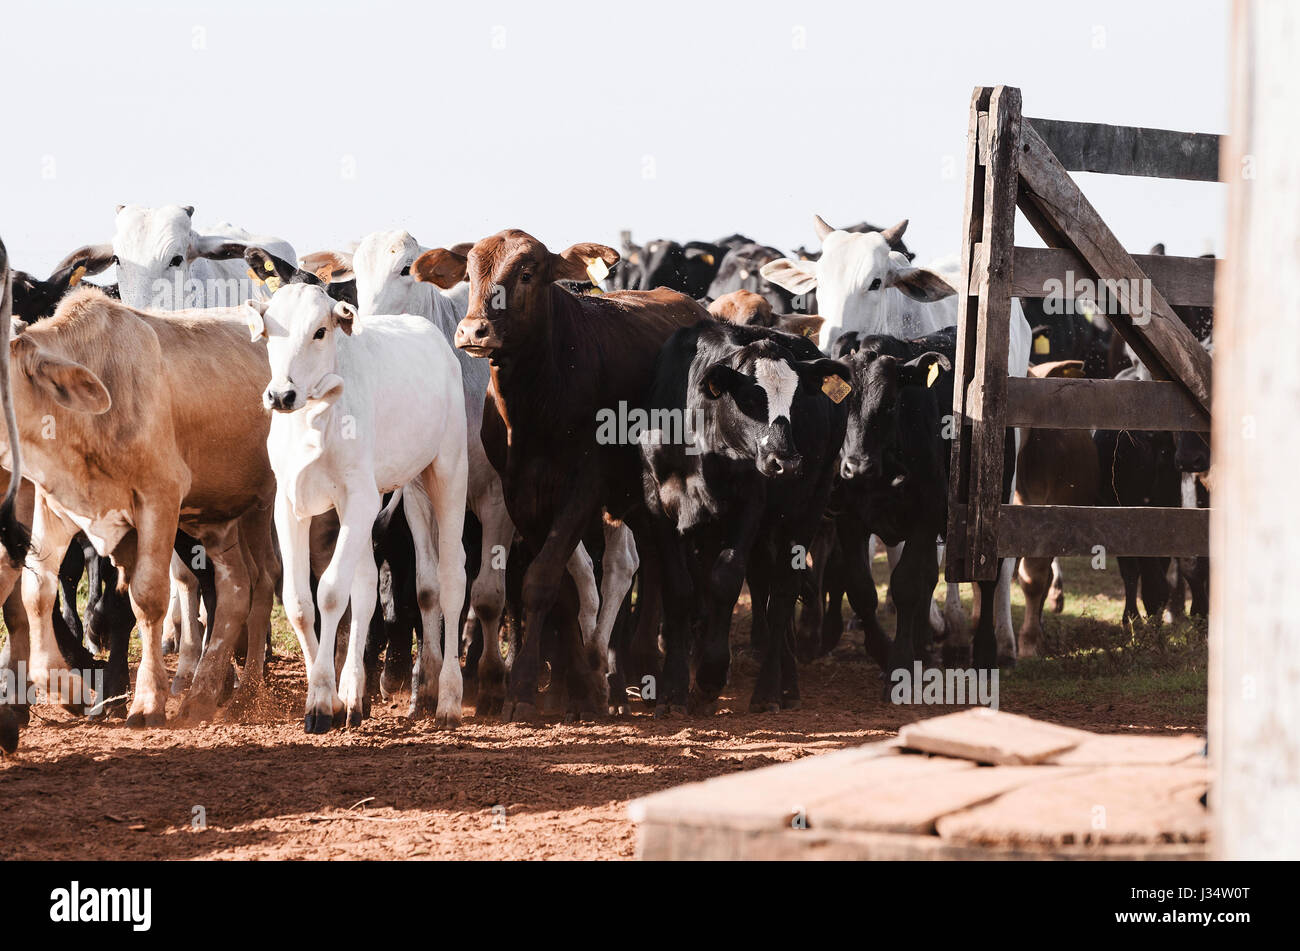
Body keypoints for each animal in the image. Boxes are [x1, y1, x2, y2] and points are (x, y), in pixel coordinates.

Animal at [1, 287, 278, 727]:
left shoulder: (160, 496)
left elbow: (147, 597)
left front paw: (147, 700)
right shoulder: (56, 505)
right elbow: (36, 590)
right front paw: (66, 688)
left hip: (262, 503)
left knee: (265, 579)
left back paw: (248, 693)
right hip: (217, 514)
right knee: (235, 586)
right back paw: (201, 695)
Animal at [250, 282, 469, 732]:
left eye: (320, 331)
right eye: (269, 330)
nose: (281, 394)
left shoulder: (361, 499)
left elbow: (332, 593)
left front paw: (319, 701)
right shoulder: (290, 505)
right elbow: (301, 602)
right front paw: (334, 697)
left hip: (449, 472)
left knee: (452, 576)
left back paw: (449, 698)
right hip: (412, 492)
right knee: (400, 585)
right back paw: (367, 693)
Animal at [412, 230, 707, 721]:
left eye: (527, 273)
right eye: (469, 273)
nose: (473, 331)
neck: (539, 400)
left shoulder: (583, 490)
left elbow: (541, 580)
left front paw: (523, 688)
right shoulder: (521, 496)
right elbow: (560, 587)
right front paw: (578, 687)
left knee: (677, 582)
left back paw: (674, 686)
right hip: (636, 502)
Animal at [640, 319, 850, 712]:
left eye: (798, 401)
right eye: (751, 400)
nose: (787, 462)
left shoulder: (751, 503)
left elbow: (725, 579)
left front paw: (710, 675)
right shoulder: (656, 504)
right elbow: (680, 588)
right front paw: (674, 687)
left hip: (807, 509)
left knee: (781, 594)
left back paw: (773, 690)